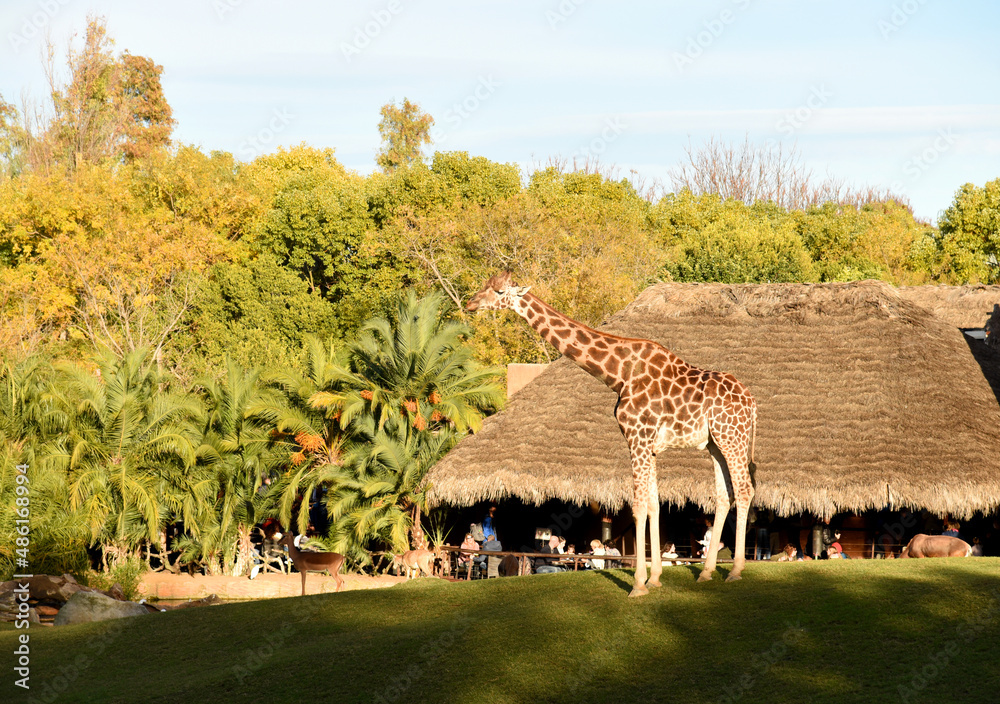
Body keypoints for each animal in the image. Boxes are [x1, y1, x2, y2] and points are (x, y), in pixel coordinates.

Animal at [466, 272, 757, 597]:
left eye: (499, 291)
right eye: (485, 285)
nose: (470, 303)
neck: (618, 374)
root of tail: (752, 403)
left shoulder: (637, 436)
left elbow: (639, 506)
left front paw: (638, 585)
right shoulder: (648, 444)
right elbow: (654, 505)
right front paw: (655, 578)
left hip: (732, 437)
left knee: (744, 490)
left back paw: (736, 571)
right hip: (715, 443)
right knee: (724, 495)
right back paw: (706, 573)